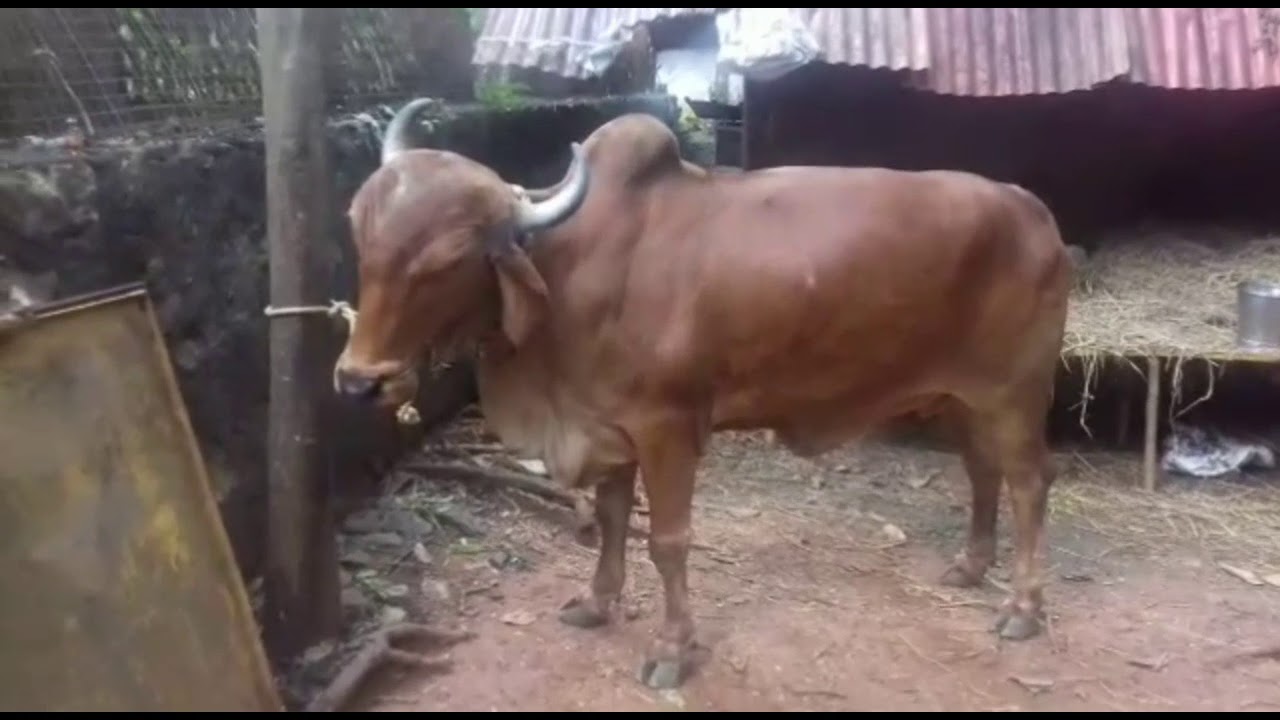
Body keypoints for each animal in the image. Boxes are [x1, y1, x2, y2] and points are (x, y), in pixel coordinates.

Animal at [333, 98, 1073, 690]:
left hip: (1015, 392)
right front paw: (596, 604)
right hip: (959, 398)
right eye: (360, 234)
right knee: (981, 472)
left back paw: (1024, 607)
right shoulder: (609, 427)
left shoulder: (666, 428)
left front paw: (672, 649)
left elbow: (667, 540)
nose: (360, 379)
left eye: (447, 257)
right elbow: (611, 521)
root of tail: (1033, 210)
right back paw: (971, 567)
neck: (566, 268)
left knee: (1029, 482)